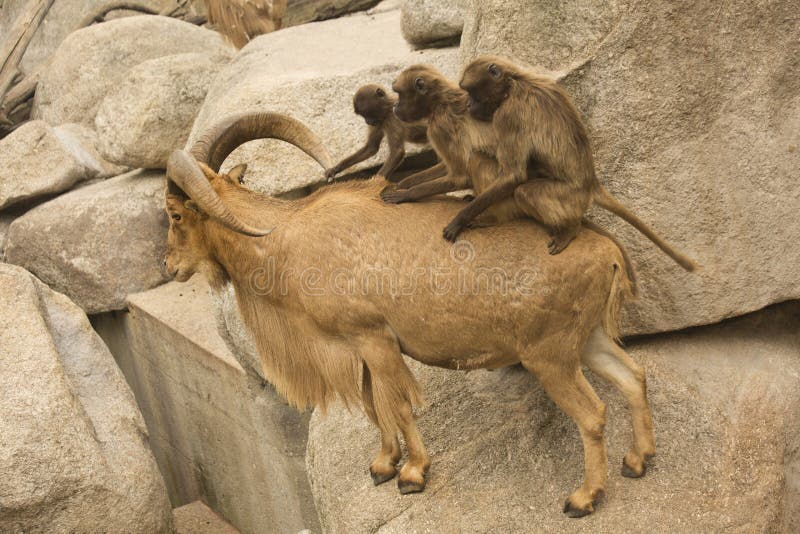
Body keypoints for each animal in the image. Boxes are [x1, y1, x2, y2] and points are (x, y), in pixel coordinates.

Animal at [164, 112, 655, 517]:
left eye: (174, 214)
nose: (170, 267)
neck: (286, 239)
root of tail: (609, 253)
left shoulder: (374, 337)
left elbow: (397, 402)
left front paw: (413, 473)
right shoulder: (357, 345)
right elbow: (371, 402)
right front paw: (383, 464)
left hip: (549, 356)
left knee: (593, 414)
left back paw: (583, 498)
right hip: (587, 340)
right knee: (633, 376)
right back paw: (639, 459)